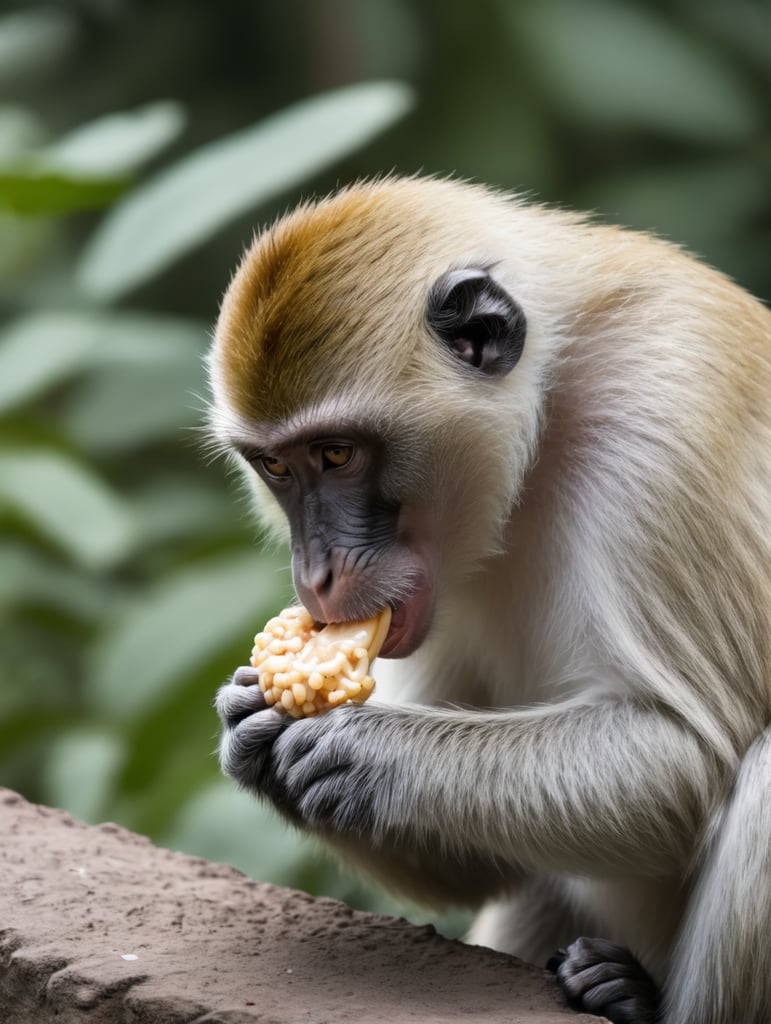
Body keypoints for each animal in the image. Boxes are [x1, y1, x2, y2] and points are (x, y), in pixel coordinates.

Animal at [209, 177, 771, 1024]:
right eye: (275, 466)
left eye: (335, 454)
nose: (317, 577)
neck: (552, 401)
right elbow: (480, 871)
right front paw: (249, 722)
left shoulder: (666, 413)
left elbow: (688, 758)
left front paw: (368, 753)